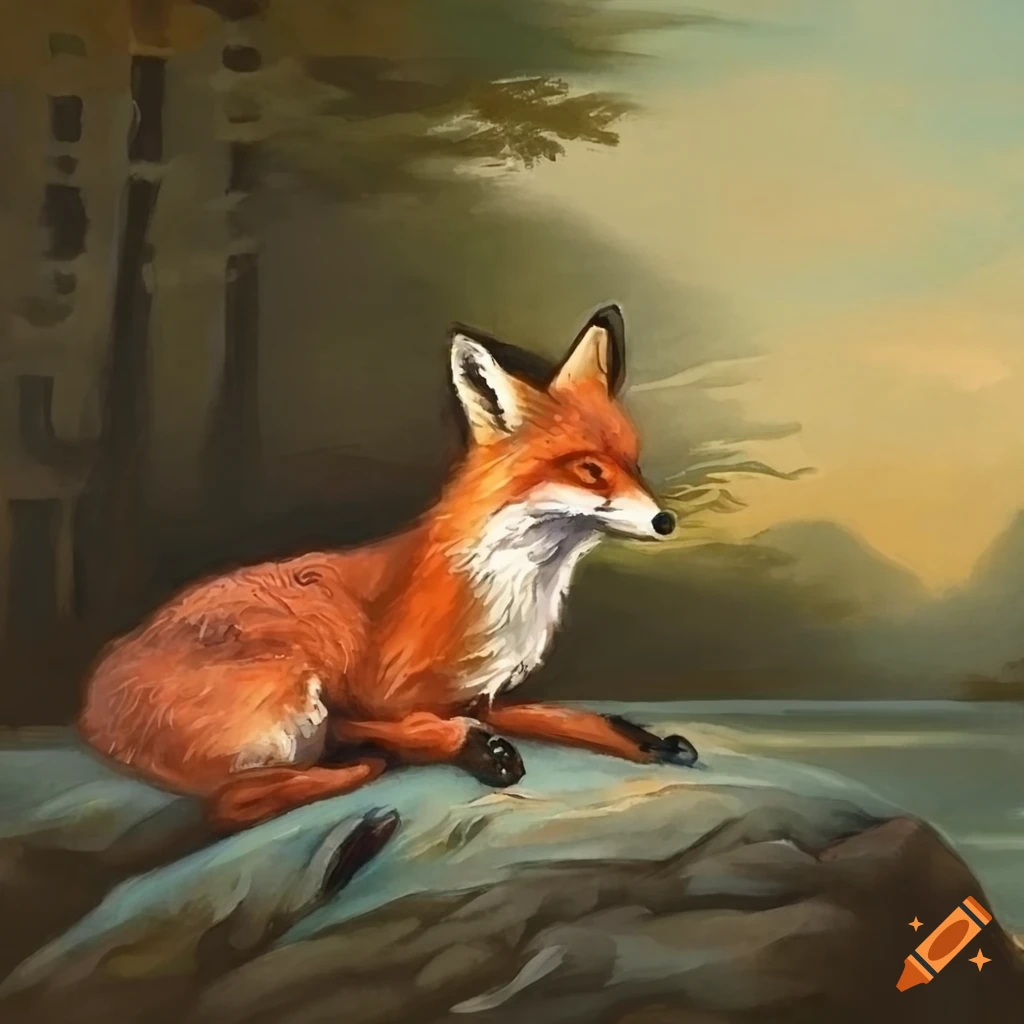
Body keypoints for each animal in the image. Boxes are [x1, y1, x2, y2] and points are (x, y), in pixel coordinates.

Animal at [79, 305, 698, 832]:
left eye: (633, 462)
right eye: (590, 470)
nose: (666, 520)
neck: (509, 591)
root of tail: (88, 711)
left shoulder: (484, 696)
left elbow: (563, 716)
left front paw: (643, 738)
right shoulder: (370, 698)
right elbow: (397, 725)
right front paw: (470, 748)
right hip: (296, 694)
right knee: (232, 802)